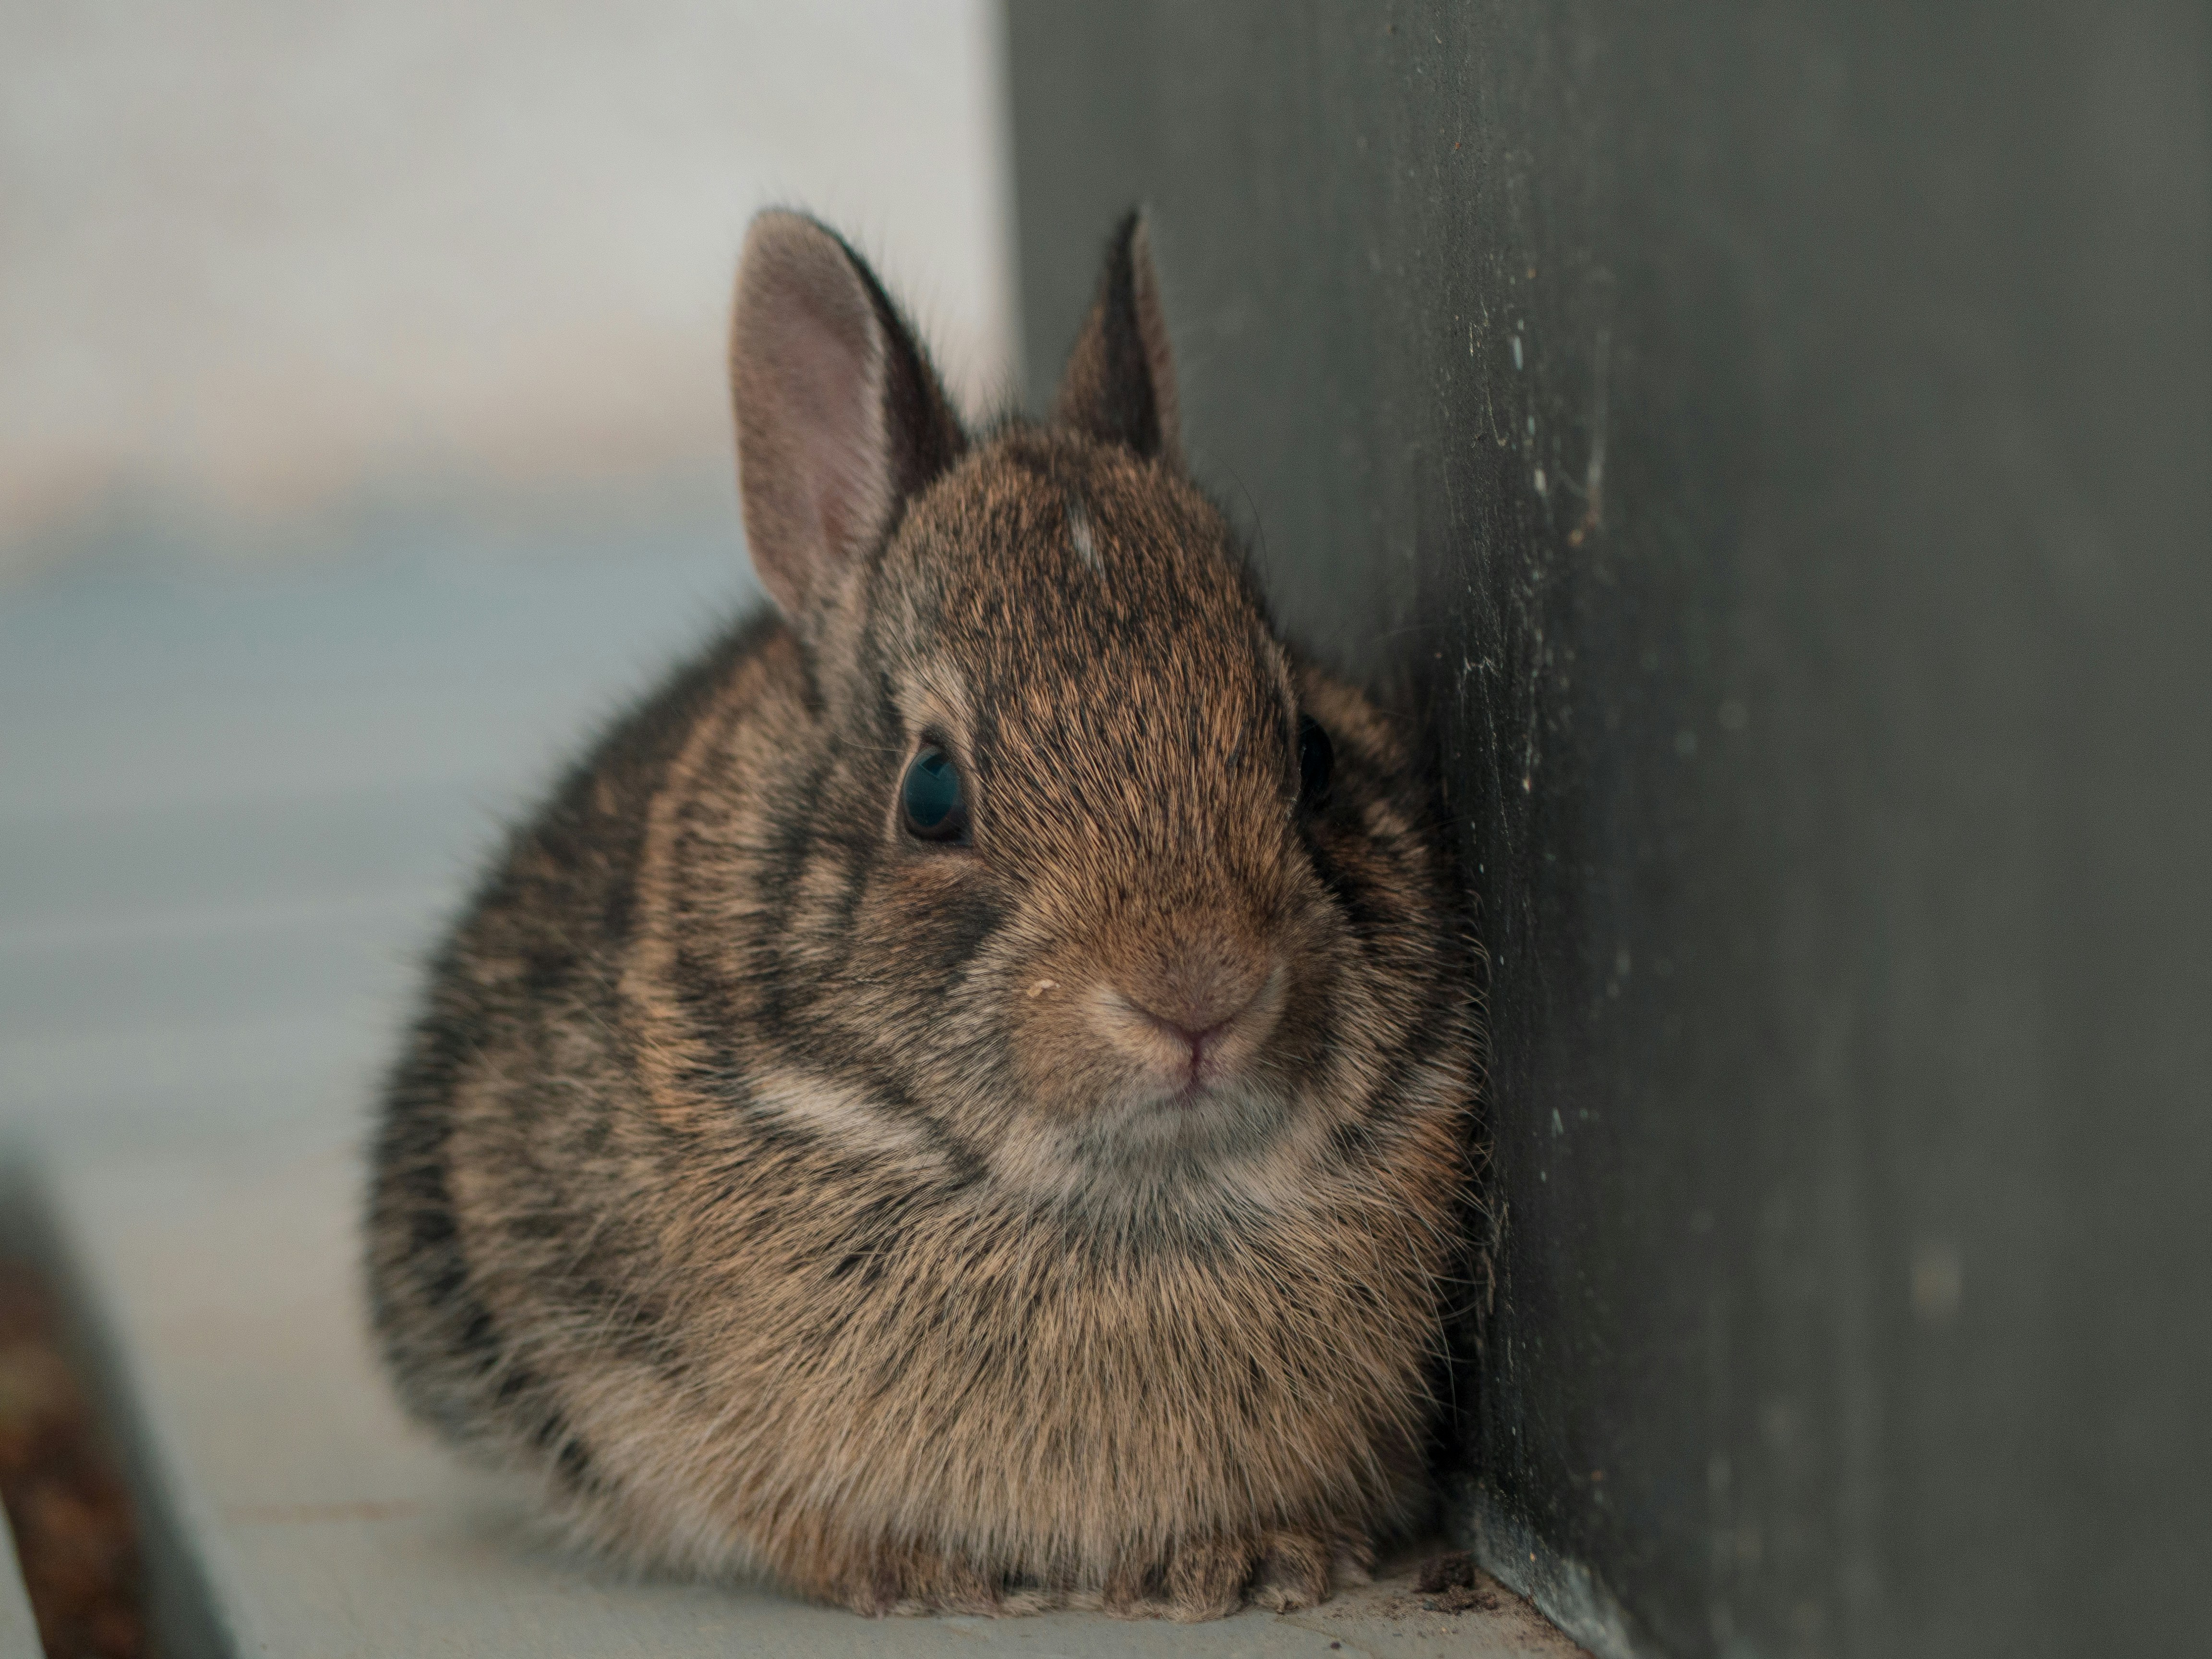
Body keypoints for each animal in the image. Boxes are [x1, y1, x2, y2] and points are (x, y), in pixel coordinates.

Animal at [366, 208, 1481, 1622]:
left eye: (1310, 753)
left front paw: (1249, 1558)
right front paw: (912, 1570)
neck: (1125, 1204)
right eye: (932, 793)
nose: (1199, 993)